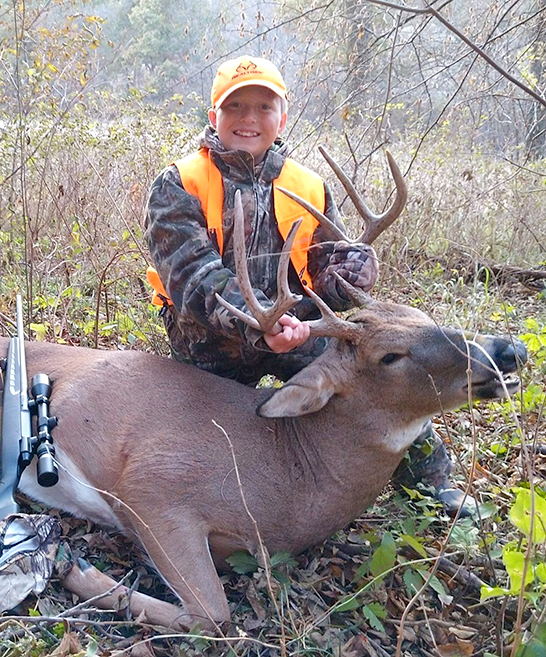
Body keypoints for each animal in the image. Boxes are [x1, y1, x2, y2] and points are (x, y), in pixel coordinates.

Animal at [0, 149, 526, 632]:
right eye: (389, 356)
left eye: (425, 318)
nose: (510, 350)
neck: (292, 473)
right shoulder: (153, 485)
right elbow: (212, 614)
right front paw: (74, 568)